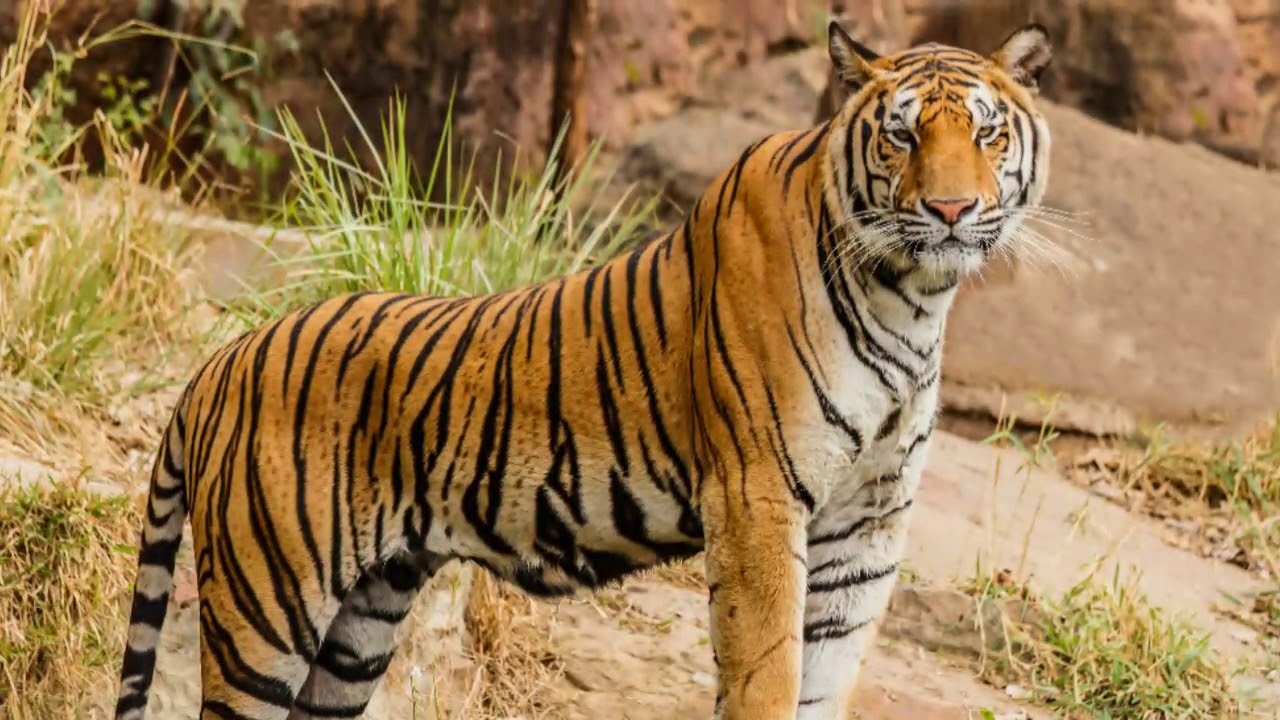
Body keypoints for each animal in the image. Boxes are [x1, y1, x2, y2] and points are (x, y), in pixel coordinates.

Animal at [113, 19, 1053, 720]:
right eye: (901, 134)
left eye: (986, 131)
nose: (951, 209)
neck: (912, 299)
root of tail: (219, 363)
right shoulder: (756, 495)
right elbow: (769, 672)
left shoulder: (869, 524)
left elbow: (826, 678)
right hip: (266, 608)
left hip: (361, 621)